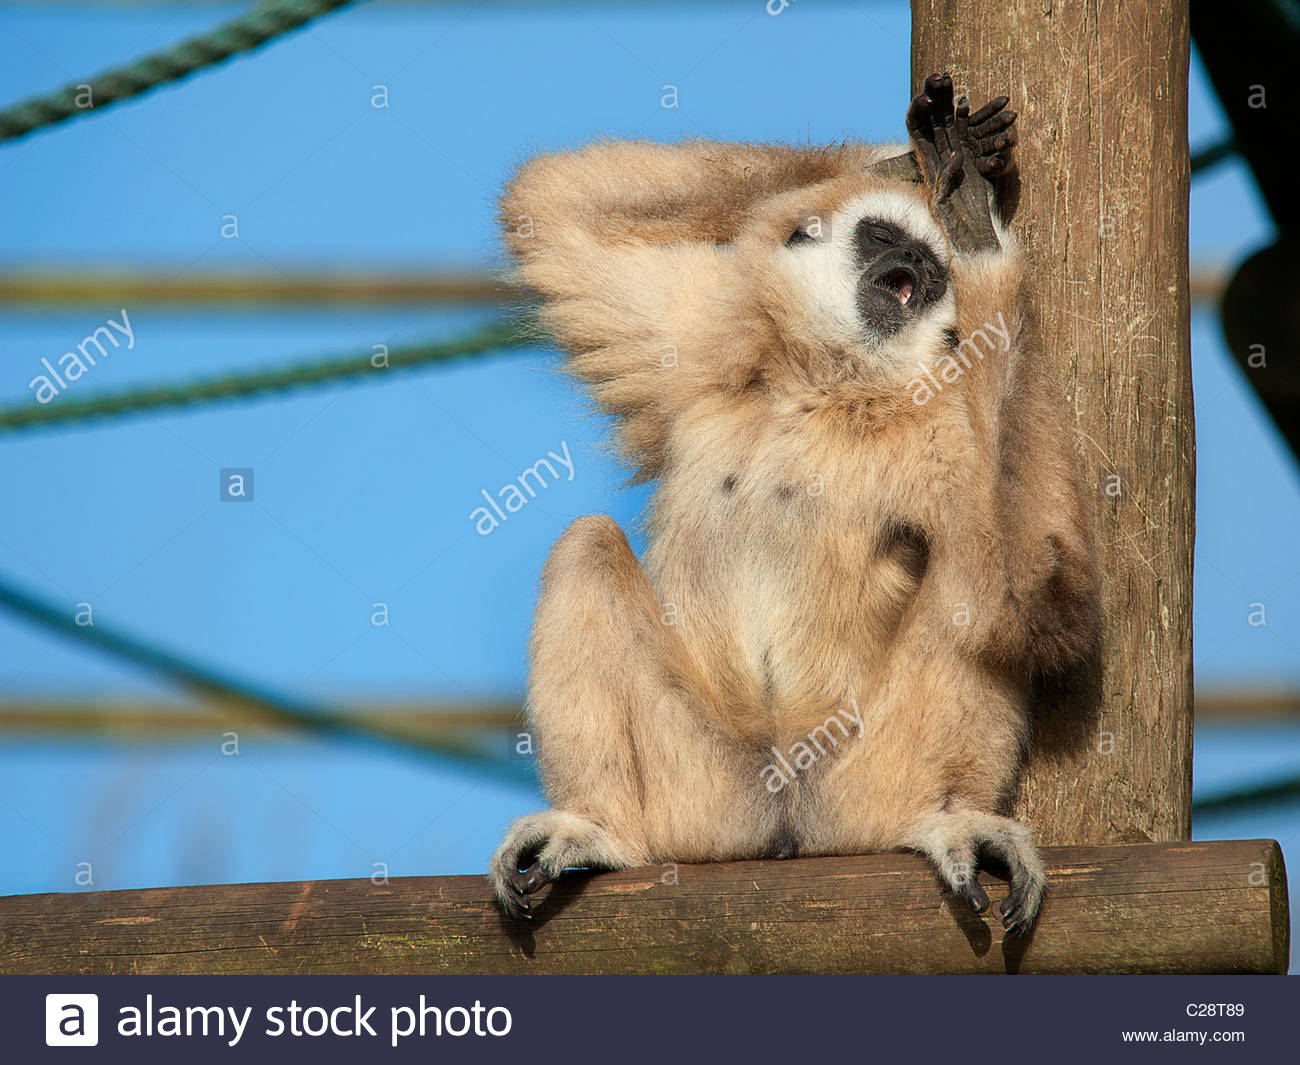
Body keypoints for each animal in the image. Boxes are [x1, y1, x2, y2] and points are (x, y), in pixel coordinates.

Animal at [489, 74, 1101, 938]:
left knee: (971, 590)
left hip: (859, 785)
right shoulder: (691, 339)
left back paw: (947, 817)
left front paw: (978, 233)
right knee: (585, 541)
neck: (828, 390)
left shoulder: (951, 430)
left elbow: (1043, 603)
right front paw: (920, 156)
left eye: (928, 264)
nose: (916, 262)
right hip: (703, 791)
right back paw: (598, 823)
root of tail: (785, 813)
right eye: (881, 236)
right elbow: (551, 203)